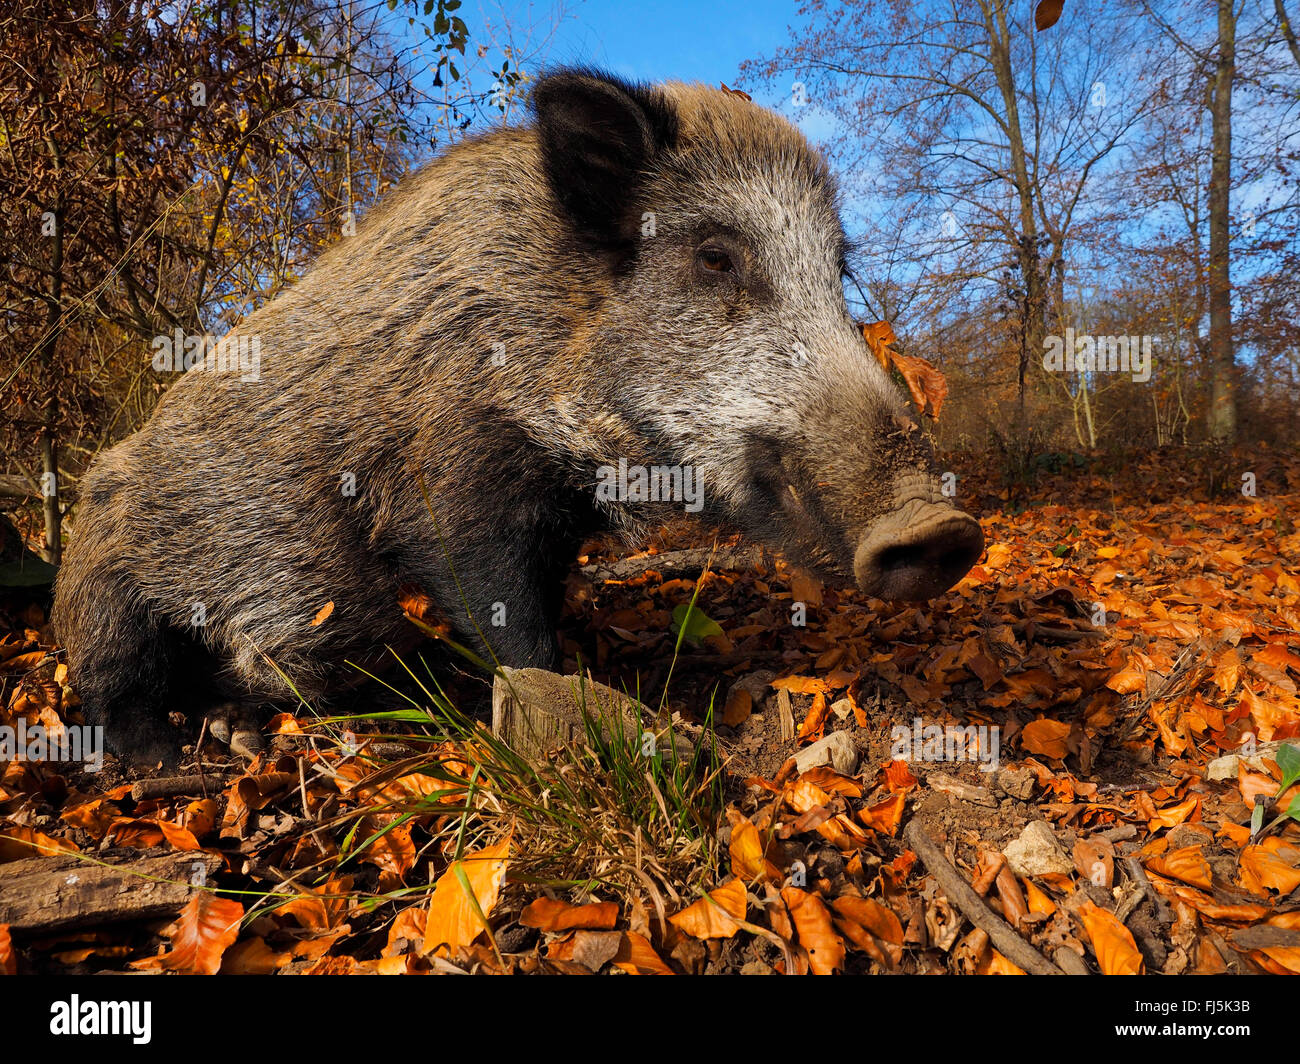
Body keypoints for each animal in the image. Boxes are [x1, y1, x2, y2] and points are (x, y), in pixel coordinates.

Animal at [52, 68, 984, 766]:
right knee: (109, 684)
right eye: (716, 257)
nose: (940, 528)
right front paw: (569, 708)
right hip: (101, 575)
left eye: (837, 269)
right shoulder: (456, 475)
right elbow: (506, 613)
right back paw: (169, 758)